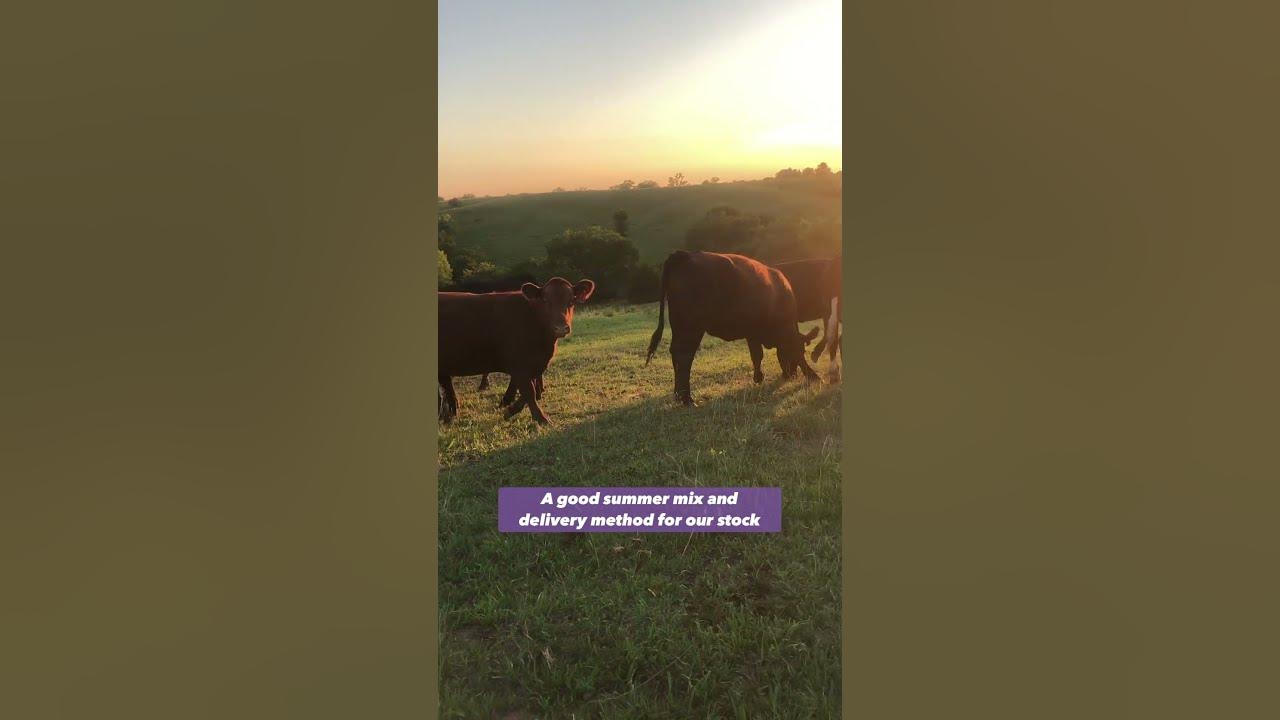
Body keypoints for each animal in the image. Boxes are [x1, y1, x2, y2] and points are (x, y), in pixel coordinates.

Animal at [439, 277, 594, 424]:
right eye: (545, 300)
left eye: (571, 300)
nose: (561, 328)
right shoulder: (520, 364)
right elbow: (529, 392)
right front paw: (541, 418)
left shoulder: (534, 365)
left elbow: (529, 391)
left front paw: (510, 409)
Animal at [645, 250, 818, 406]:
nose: (791, 375)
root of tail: (685, 254)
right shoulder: (781, 331)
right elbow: (786, 352)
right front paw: (813, 375)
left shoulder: (752, 333)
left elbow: (756, 355)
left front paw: (758, 377)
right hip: (691, 327)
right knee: (684, 356)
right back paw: (687, 399)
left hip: (680, 327)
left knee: (676, 354)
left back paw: (678, 396)